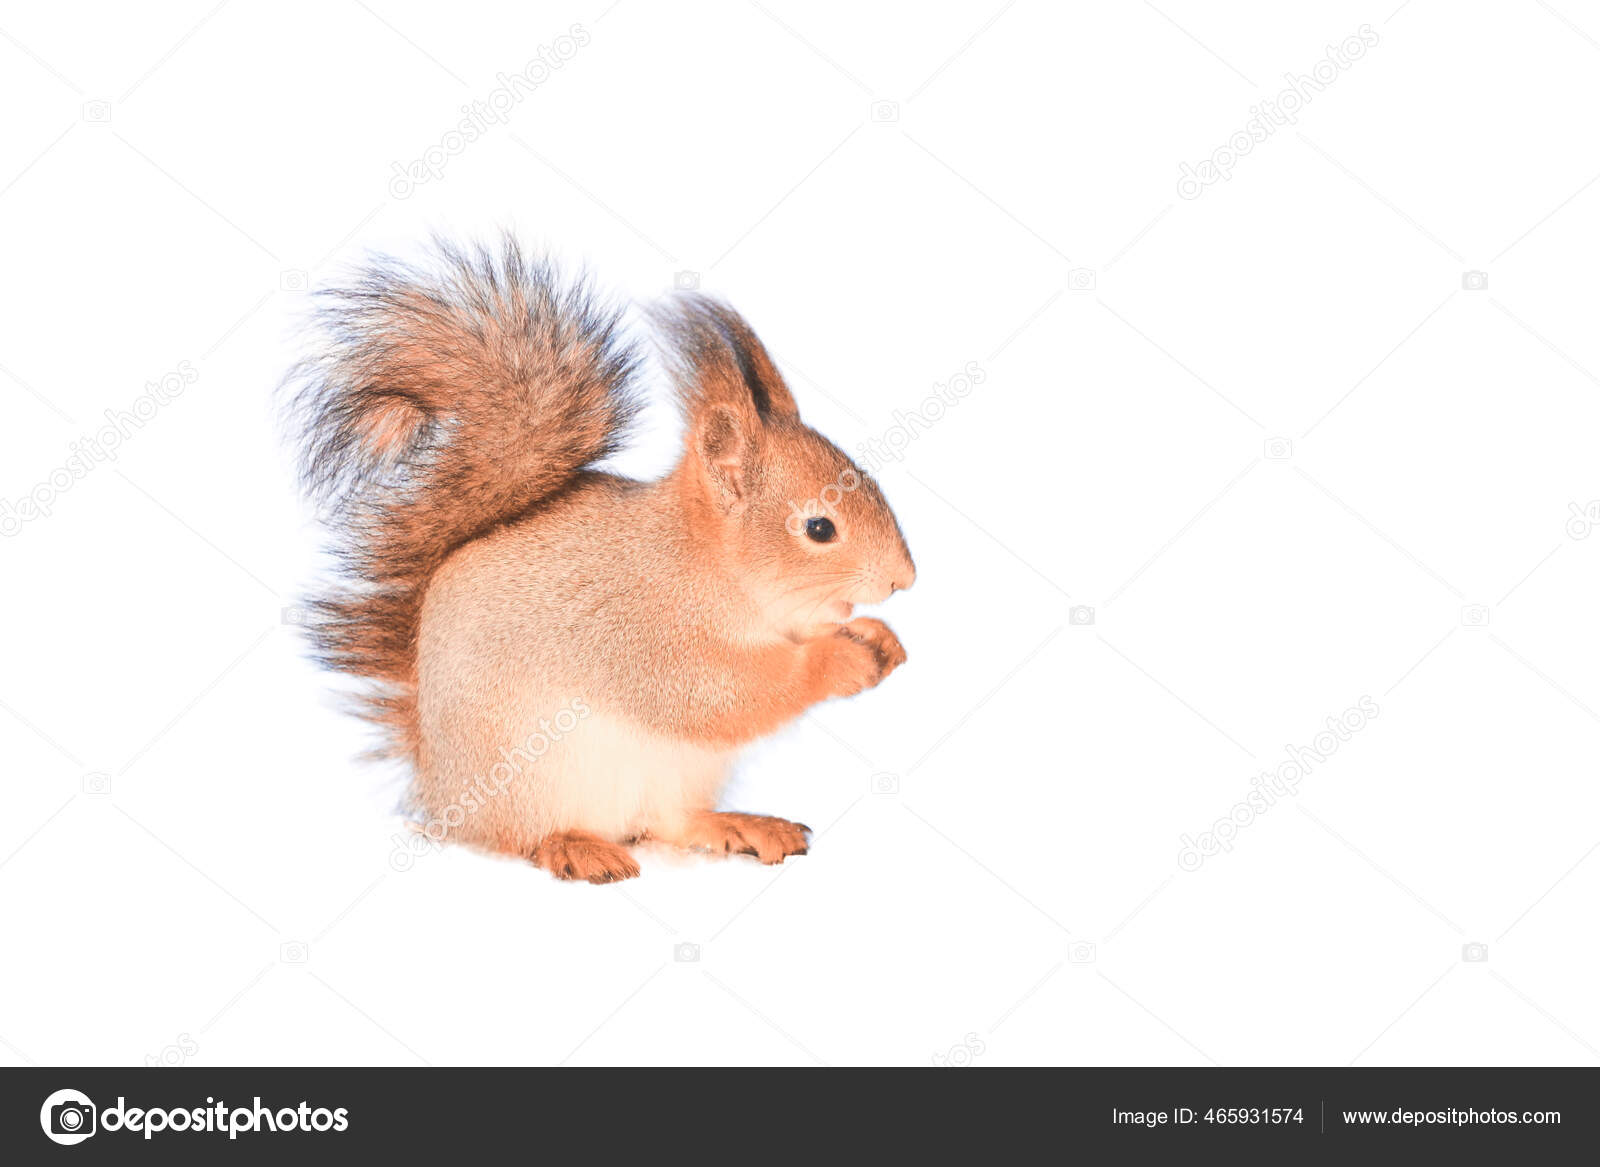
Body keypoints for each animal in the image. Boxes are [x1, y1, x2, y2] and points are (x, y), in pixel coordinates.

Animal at [285, 238, 915, 882]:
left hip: (679, 776)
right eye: (820, 528)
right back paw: (574, 846)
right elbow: (722, 692)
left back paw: (741, 826)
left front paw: (879, 636)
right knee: (520, 837)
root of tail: (439, 788)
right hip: (524, 777)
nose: (904, 580)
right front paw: (839, 660)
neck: (709, 564)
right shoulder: (645, 630)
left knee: (672, 823)